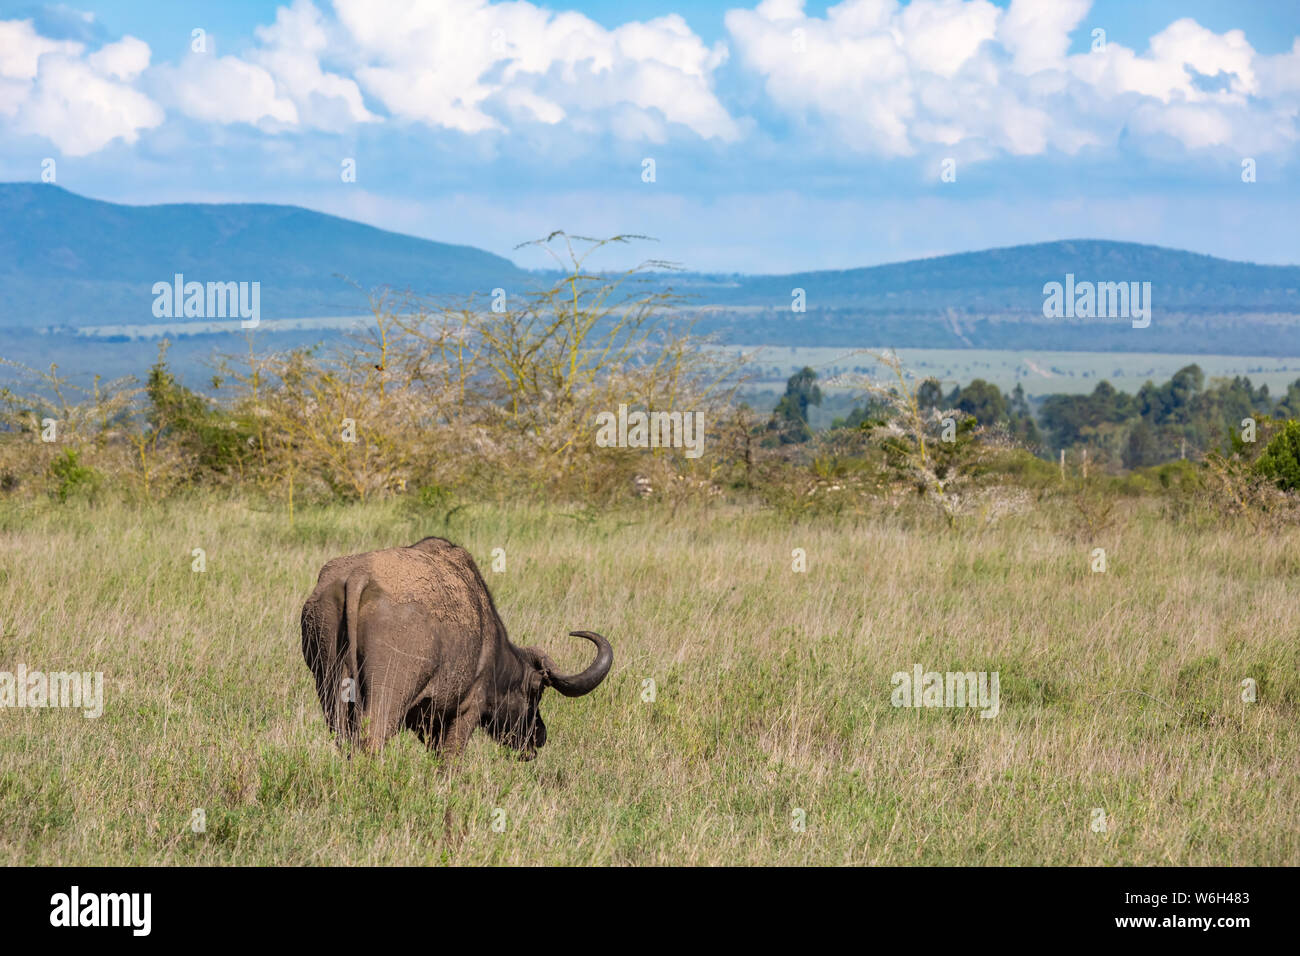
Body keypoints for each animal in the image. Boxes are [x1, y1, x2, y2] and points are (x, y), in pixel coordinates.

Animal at [300, 536, 612, 759]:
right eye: (536, 691)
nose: (539, 735)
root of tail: (358, 577)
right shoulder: (467, 709)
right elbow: (451, 758)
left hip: (330, 687)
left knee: (343, 739)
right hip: (387, 695)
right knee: (372, 738)